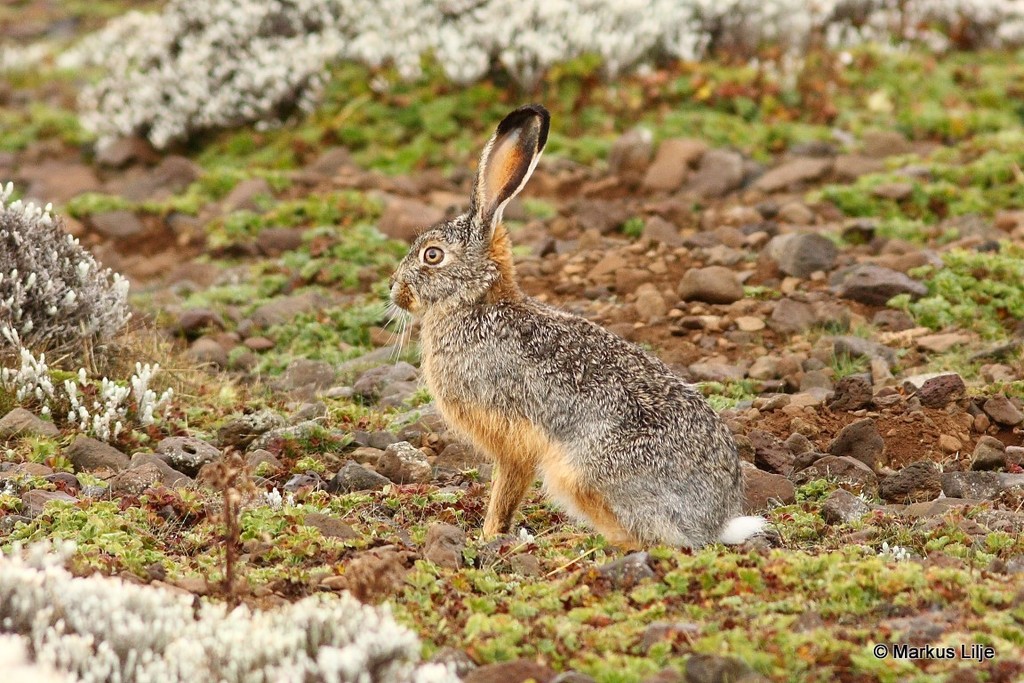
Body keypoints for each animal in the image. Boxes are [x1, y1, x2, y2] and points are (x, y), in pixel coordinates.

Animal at [389, 104, 765, 548]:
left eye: (432, 255)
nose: (395, 289)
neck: (476, 302)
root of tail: (715, 522)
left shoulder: (513, 440)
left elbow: (505, 491)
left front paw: (488, 536)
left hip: (585, 475)